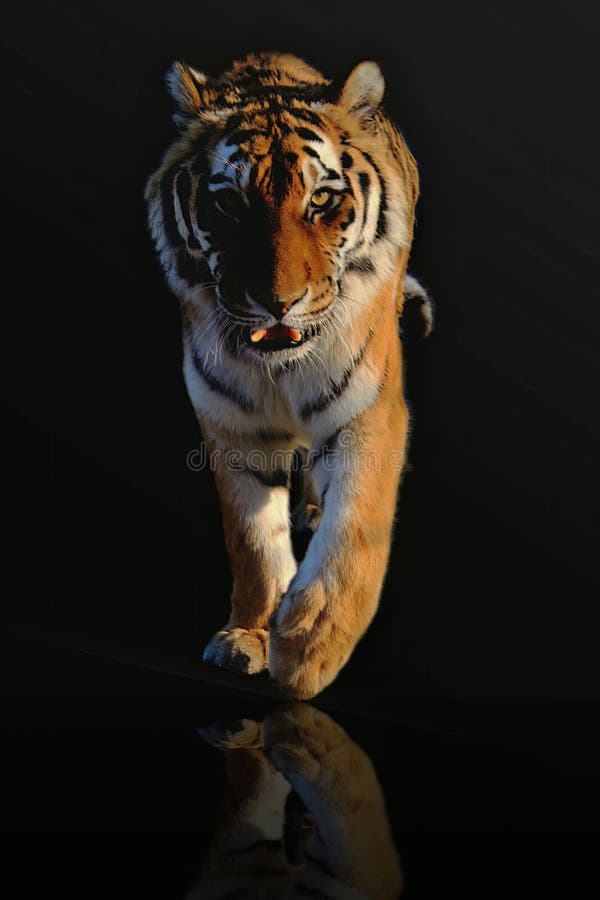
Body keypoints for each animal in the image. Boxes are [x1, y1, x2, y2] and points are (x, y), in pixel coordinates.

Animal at [145, 51, 433, 700]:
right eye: (230, 203)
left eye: (322, 200)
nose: (279, 303)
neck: (279, 367)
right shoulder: (231, 423)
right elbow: (252, 540)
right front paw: (248, 637)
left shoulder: (369, 411)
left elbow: (358, 527)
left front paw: (310, 647)